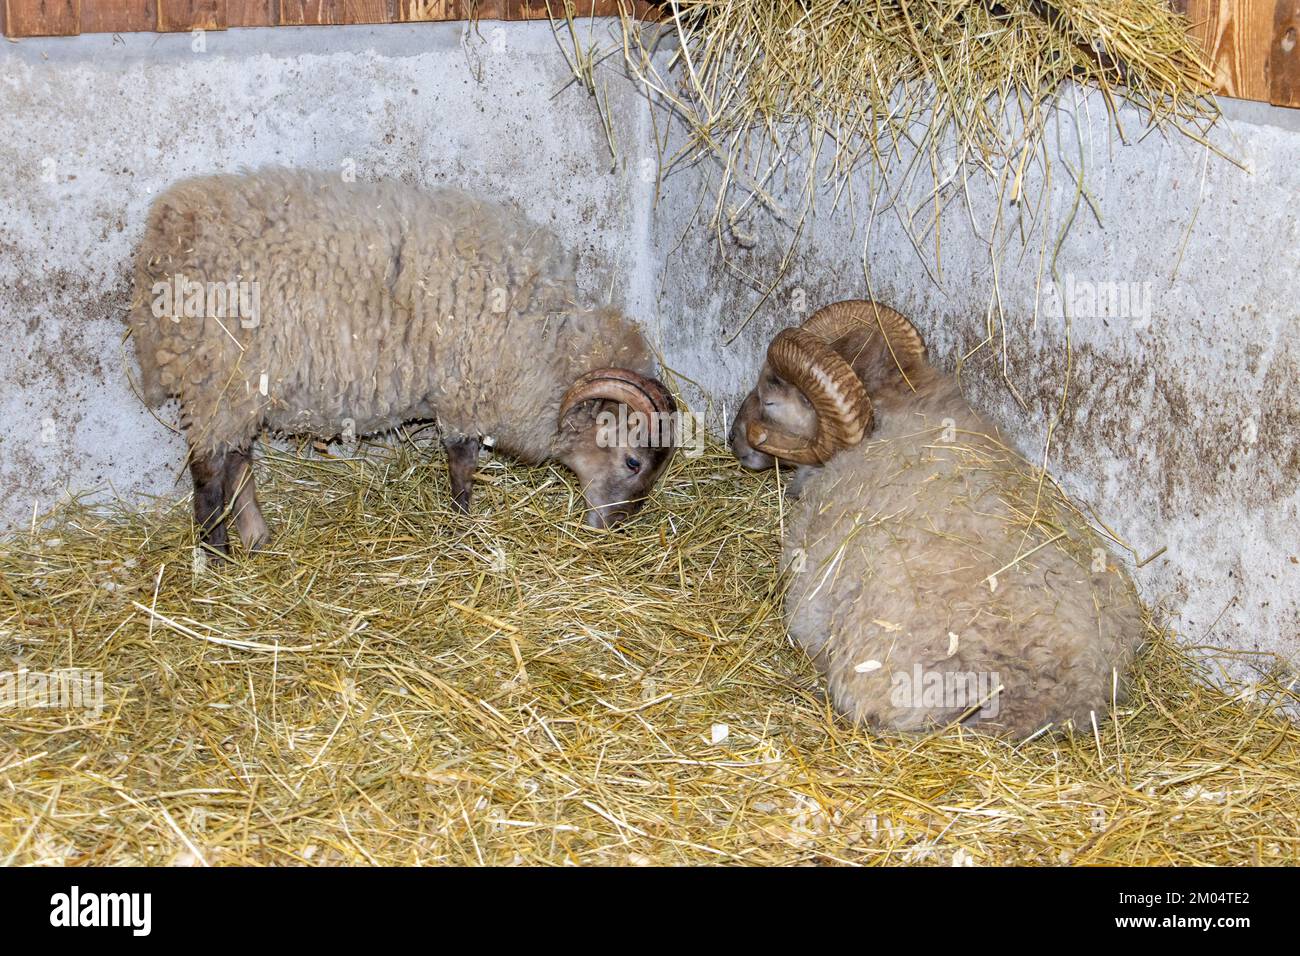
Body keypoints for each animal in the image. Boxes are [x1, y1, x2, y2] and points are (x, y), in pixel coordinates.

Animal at [128, 168, 678, 556]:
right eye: (632, 460)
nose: (613, 528)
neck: (544, 339)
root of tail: (163, 237)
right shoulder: (462, 393)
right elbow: (462, 467)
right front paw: (461, 528)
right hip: (217, 377)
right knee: (208, 474)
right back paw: (217, 557)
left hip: (240, 388)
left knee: (237, 459)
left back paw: (257, 537)